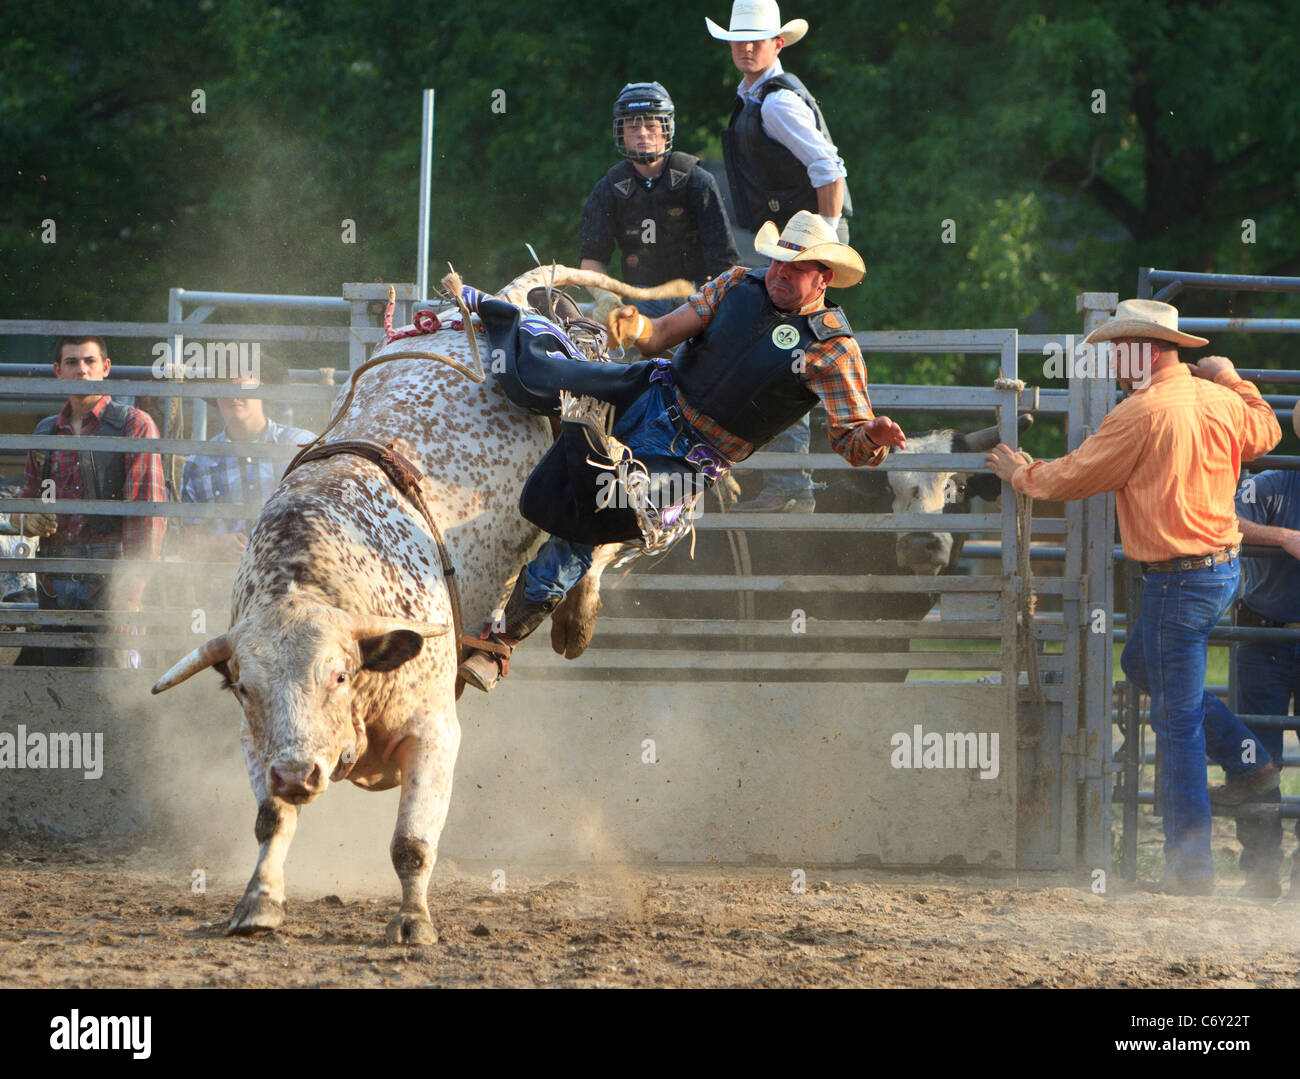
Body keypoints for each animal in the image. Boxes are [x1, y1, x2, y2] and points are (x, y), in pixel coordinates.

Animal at [149, 265, 685, 944]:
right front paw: (259, 903)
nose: (297, 776)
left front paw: (412, 922)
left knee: (602, 536)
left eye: (339, 674)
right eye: (245, 687)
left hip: (590, 468)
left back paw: (575, 621)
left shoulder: (435, 732)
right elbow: (272, 822)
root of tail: (505, 300)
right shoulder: (258, 742)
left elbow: (411, 844)